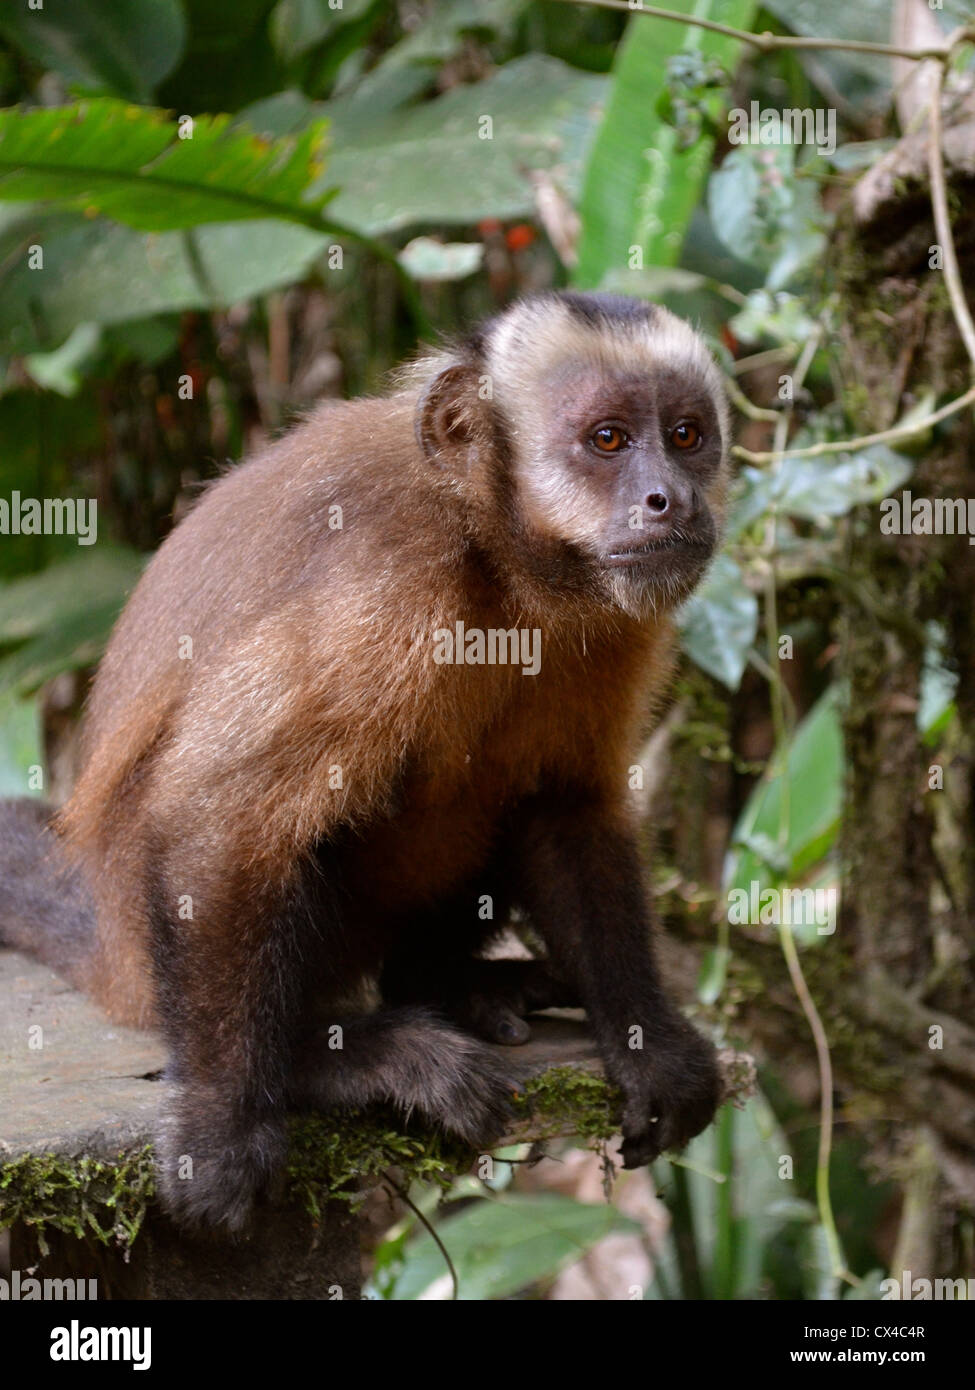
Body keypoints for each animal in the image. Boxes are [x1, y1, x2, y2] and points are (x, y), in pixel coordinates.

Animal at [0, 291, 730, 1232]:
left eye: (684, 435)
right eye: (606, 439)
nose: (668, 498)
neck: (490, 552)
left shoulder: (613, 617)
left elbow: (563, 805)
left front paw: (647, 1044)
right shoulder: (383, 588)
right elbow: (219, 816)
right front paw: (221, 1125)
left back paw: (447, 984)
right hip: (151, 956)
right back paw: (324, 1058)